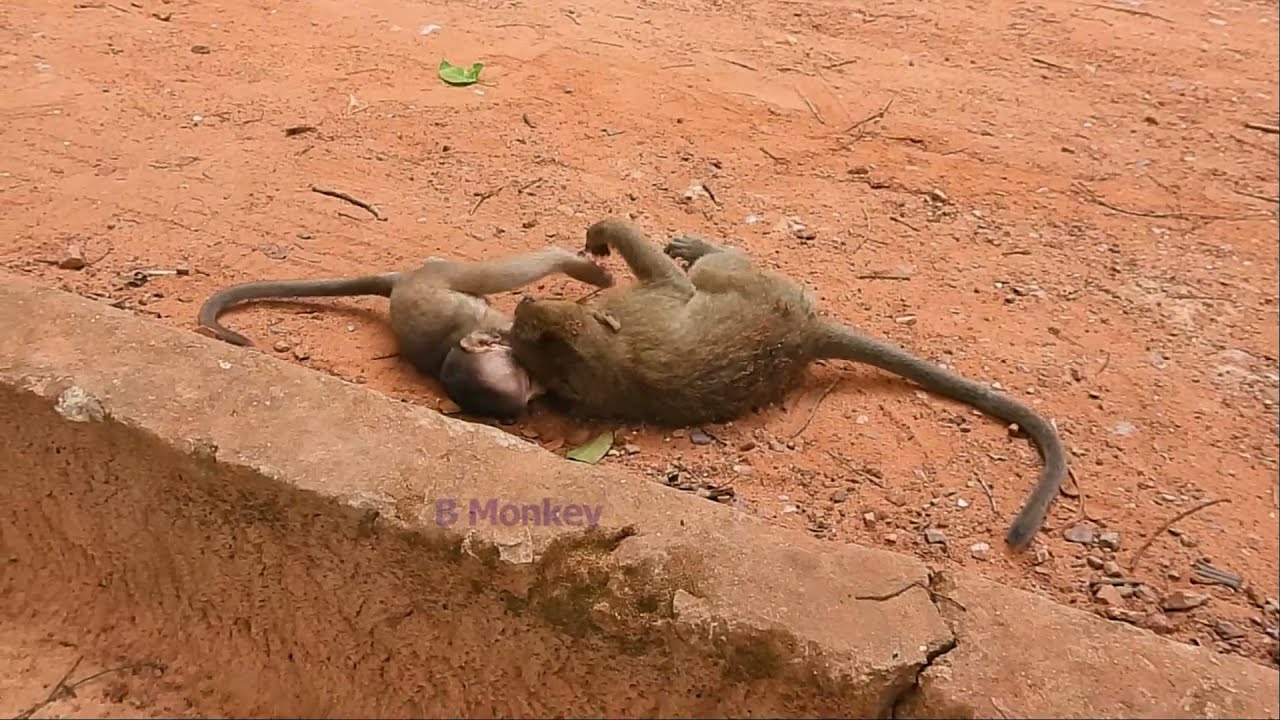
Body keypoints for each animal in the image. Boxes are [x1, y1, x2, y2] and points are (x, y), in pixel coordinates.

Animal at [507, 217, 1068, 550]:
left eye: (536, 326)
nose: (523, 304)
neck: (603, 358)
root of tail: (806, 334)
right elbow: (673, 280)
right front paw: (603, 235)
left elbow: (666, 279)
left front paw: (599, 236)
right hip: (761, 286)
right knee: (715, 270)